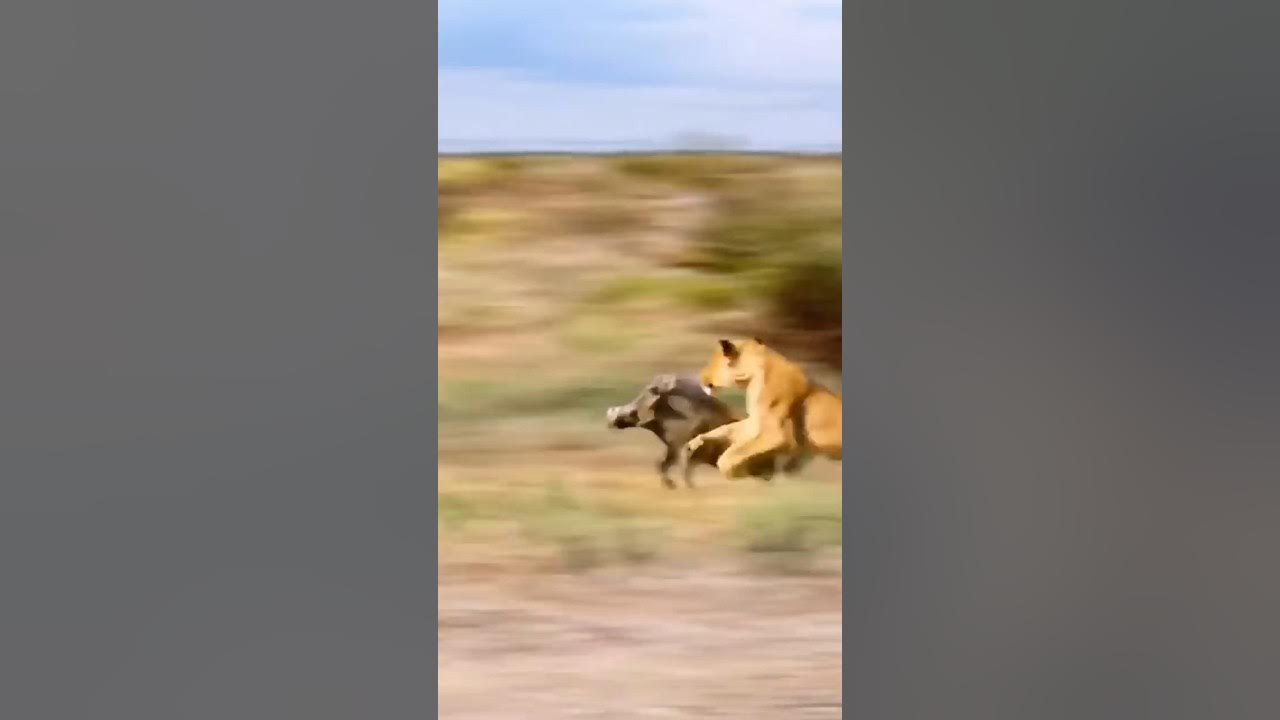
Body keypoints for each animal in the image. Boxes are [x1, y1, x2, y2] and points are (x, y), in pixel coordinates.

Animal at [684, 338, 842, 479]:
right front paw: (696, 441)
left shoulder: (776, 435)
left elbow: (732, 454)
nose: (701, 378)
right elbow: (725, 429)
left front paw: (738, 473)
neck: (751, 381)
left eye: (711, 363)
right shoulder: (754, 423)